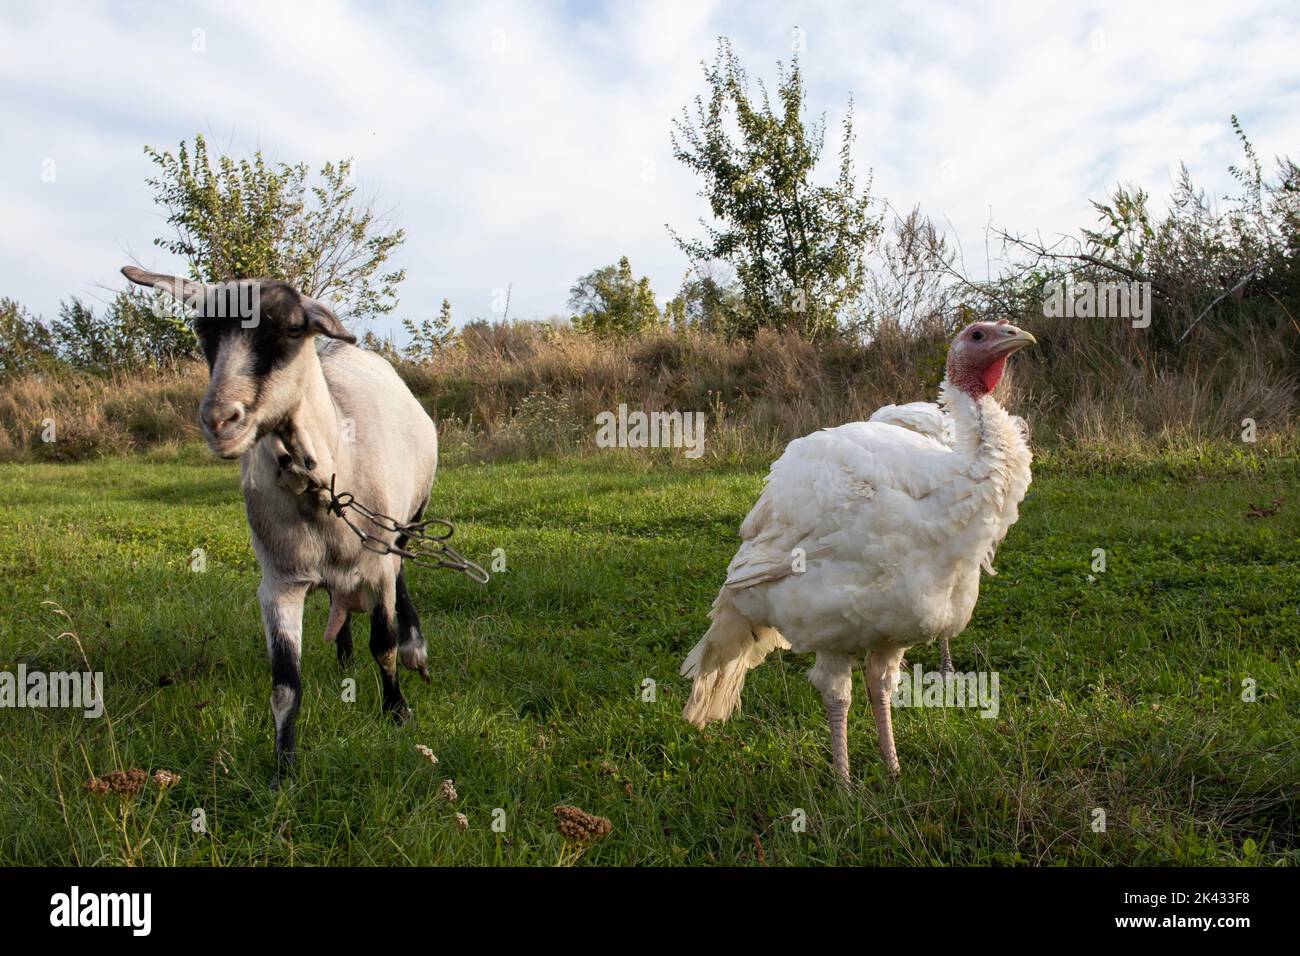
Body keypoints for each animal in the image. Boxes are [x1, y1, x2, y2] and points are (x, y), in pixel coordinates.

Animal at [122, 266, 438, 786]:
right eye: (202, 331)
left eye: (292, 329)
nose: (220, 421)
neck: (325, 477)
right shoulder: (278, 582)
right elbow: (285, 684)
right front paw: (284, 771)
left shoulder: (377, 558)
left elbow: (385, 644)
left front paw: (397, 711)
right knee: (339, 598)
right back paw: (344, 654)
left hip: (409, 517)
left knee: (402, 577)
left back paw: (415, 648)